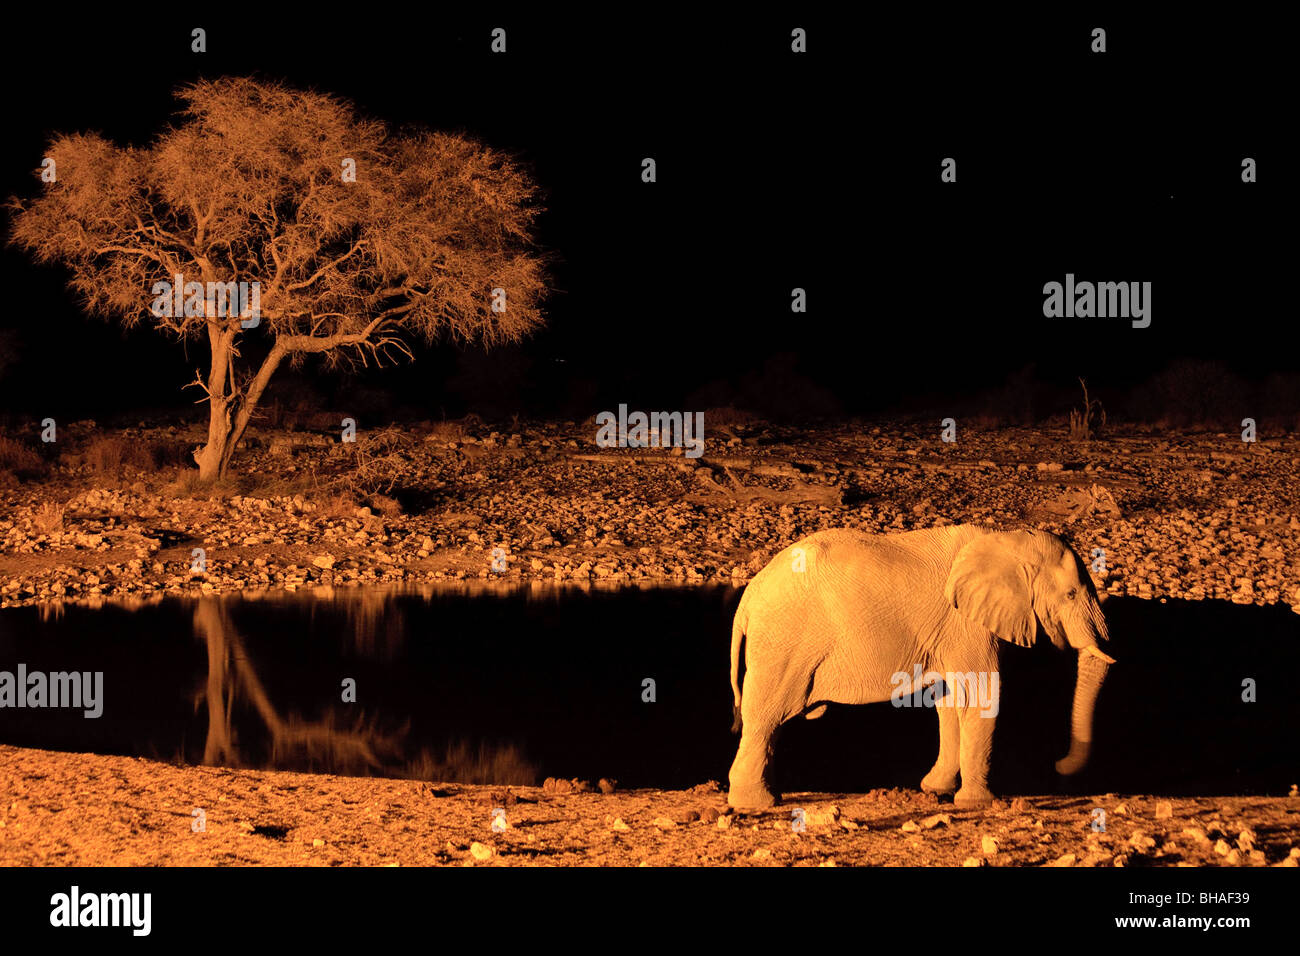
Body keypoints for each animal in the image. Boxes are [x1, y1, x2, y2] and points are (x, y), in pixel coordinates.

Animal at [726, 524, 1115, 810]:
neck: (1007, 539)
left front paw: (935, 789)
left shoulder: (948, 633)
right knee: (767, 717)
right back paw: (756, 804)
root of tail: (749, 595)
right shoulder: (965, 625)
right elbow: (982, 696)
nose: (1058, 765)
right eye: (1070, 595)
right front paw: (979, 803)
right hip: (783, 642)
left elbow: (950, 701)